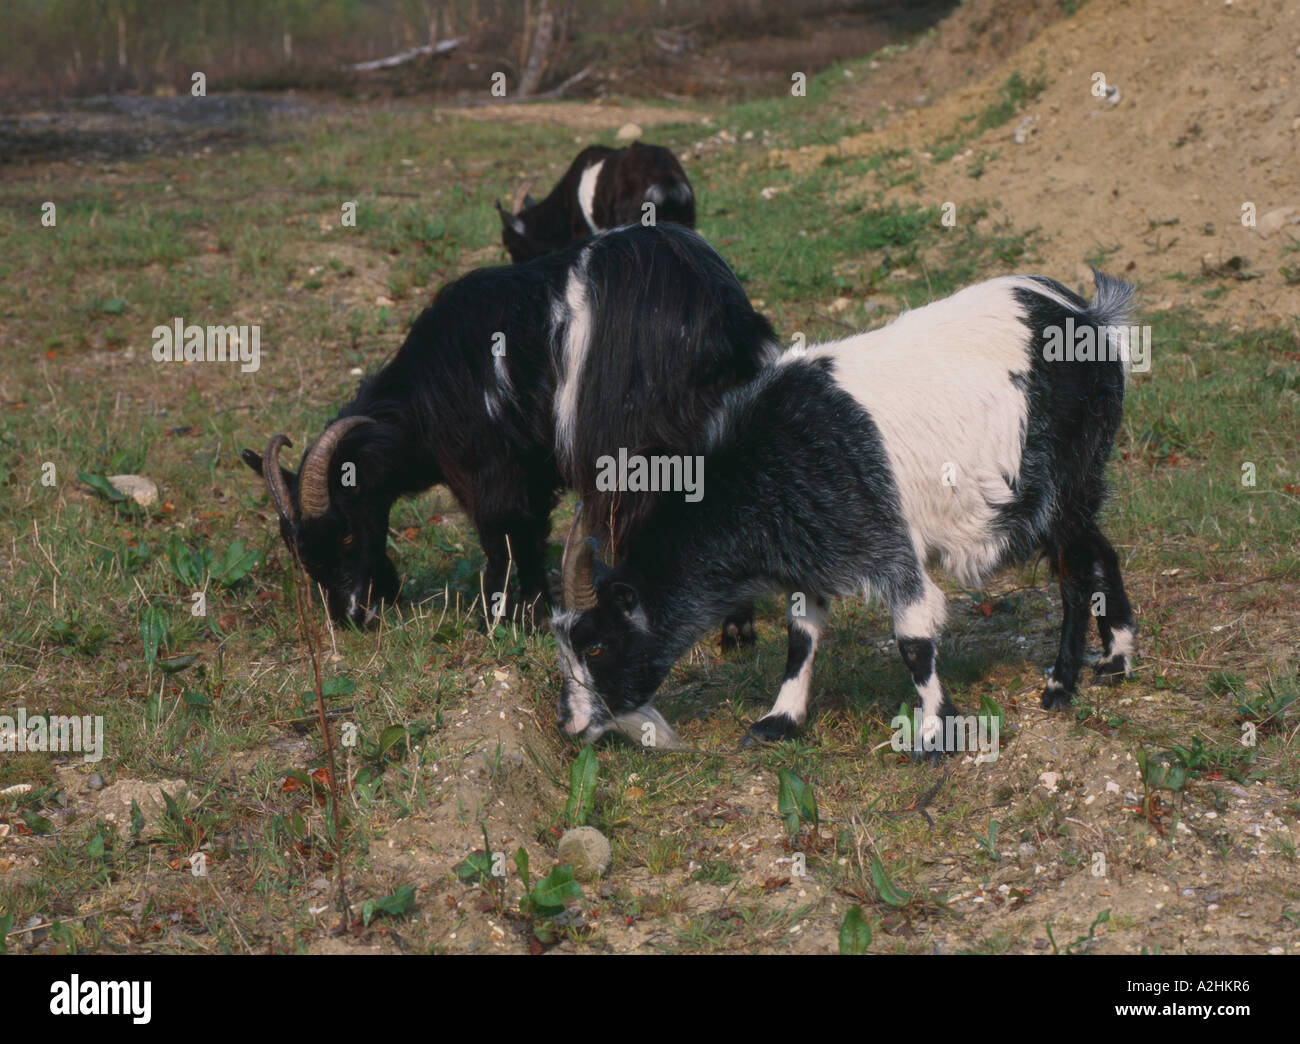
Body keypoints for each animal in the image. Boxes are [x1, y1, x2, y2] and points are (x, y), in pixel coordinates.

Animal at [242, 223, 778, 632]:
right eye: (299, 552)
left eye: (348, 536)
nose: (351, 617)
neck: (426, 397)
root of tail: (721, 316)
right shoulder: (530, 468)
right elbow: (529, 537)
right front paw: (538, 609)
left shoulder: (489, 467)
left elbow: (499, 538)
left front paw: (494, 620)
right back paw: (735, 629)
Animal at [552, 271, 1139, 753]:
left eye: (597, 646)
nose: (572, 726)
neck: (765, 466)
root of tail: (1091, 315)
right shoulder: (809, 557)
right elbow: (800, 636)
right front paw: (780, 720)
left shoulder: (884, 544)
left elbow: (913, 641)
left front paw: (935, 731)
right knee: (1099, 548)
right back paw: (1116, 658)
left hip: (1065, 476)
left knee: (1073, 572)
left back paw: (1061, 683)